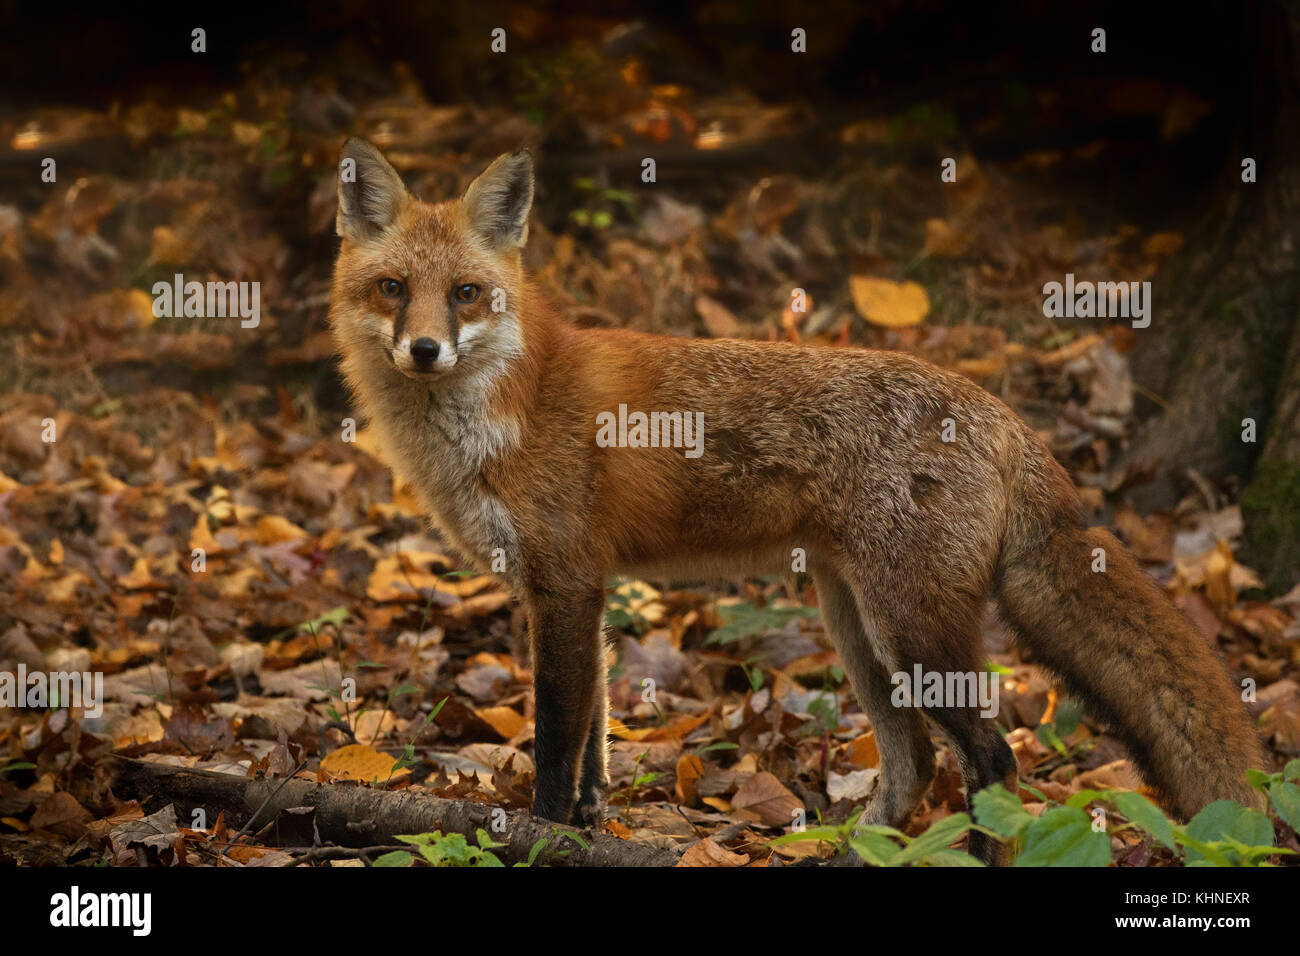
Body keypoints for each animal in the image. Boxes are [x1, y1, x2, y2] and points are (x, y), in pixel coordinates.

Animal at [328, 138, 1265, 864]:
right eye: (392, 289)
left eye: (465, 294)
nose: (423, 350)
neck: (509, 405)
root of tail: (1004, 415)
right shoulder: (583, 589)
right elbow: (597, 736)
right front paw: (589, 826)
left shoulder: (562, 580)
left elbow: (558, 740)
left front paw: (544, 836)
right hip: (856, 625)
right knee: (915, 767)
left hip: (911, 630)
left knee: (994, 762)